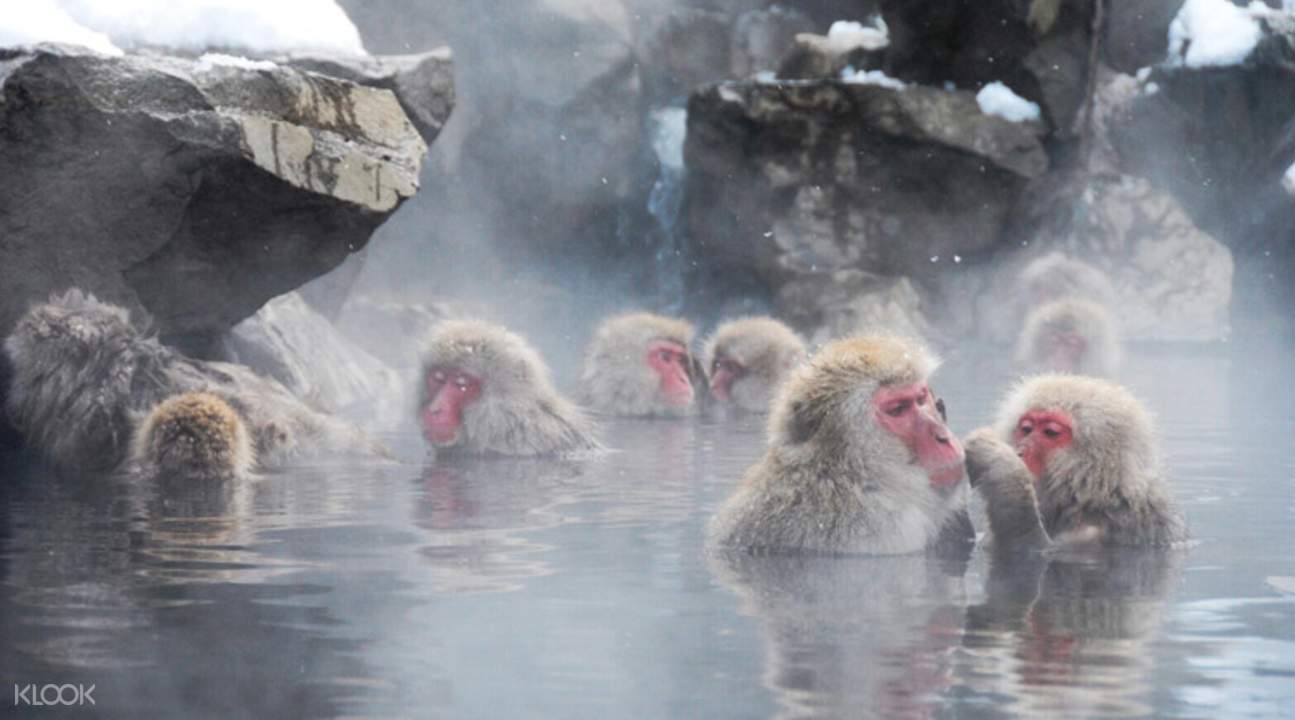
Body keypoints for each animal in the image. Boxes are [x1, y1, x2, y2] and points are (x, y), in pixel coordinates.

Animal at [964, 374, 1188, 554]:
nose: (1020, 451)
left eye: (1051, 432)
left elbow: (1033, 547)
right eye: (1026, 429)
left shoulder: (1099, 531)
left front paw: (999, 463)